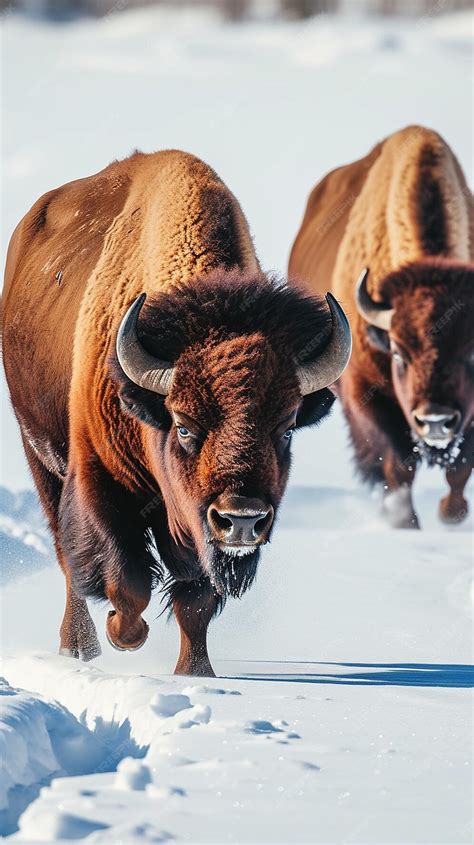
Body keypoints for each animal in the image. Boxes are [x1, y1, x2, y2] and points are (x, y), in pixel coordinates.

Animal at [2, 149, 351, 675]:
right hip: (39, 453)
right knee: (66, 555)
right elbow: (126, 579)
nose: (242, 518)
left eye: (287, 427)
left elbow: (196, 600)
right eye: (184, 426)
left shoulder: (196, 530)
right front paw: (125, 636)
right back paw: (78, 647)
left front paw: (197, 674)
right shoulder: (99, 479)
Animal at [289, 126, 473, 528]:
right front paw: (405, 522)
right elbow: (399, 464)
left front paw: (450, 516)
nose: (436, 420)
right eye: (399, 353)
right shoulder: (368, 394)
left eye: (471, 354)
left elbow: (460, 467)